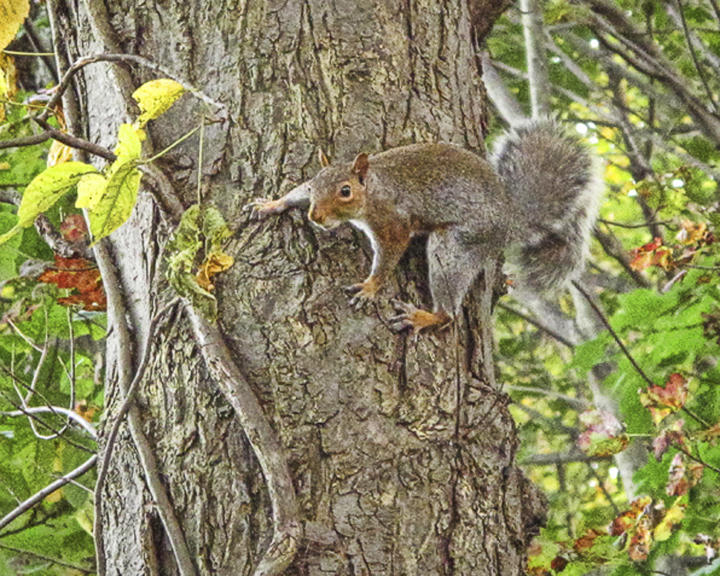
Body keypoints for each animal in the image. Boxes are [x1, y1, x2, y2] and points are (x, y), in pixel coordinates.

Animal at [246, 118, 602, 331]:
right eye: (315, 184)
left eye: (345, 191)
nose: (315, 217)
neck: (373, 189)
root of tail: (509, 217)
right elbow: (293, 194)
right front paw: (271, 204)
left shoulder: (392, 222)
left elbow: (389, 255)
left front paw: (370, 287)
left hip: (455, 245)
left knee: (449, 312)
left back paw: (424, 316)